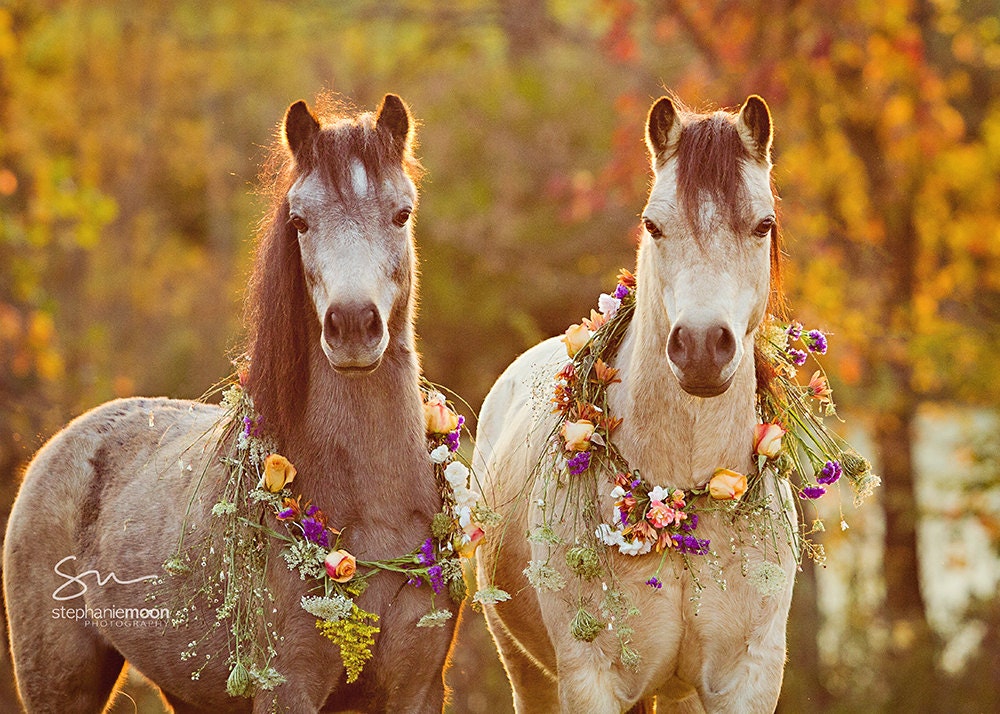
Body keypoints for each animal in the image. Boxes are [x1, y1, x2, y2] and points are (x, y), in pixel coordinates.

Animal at [4, 94, 457, 713]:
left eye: (401, 214)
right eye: (299, 221)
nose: (352, 326)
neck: (373, 515)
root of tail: (61, 447)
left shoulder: (417, 689)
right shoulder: (286, 688)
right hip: (58, 684)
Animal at [474, 95, 795, 713]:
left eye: (763, 224)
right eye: (653, 224)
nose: (701, 346)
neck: (686, 488)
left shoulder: (746, 679)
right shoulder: (590, 680)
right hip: (525, 669)